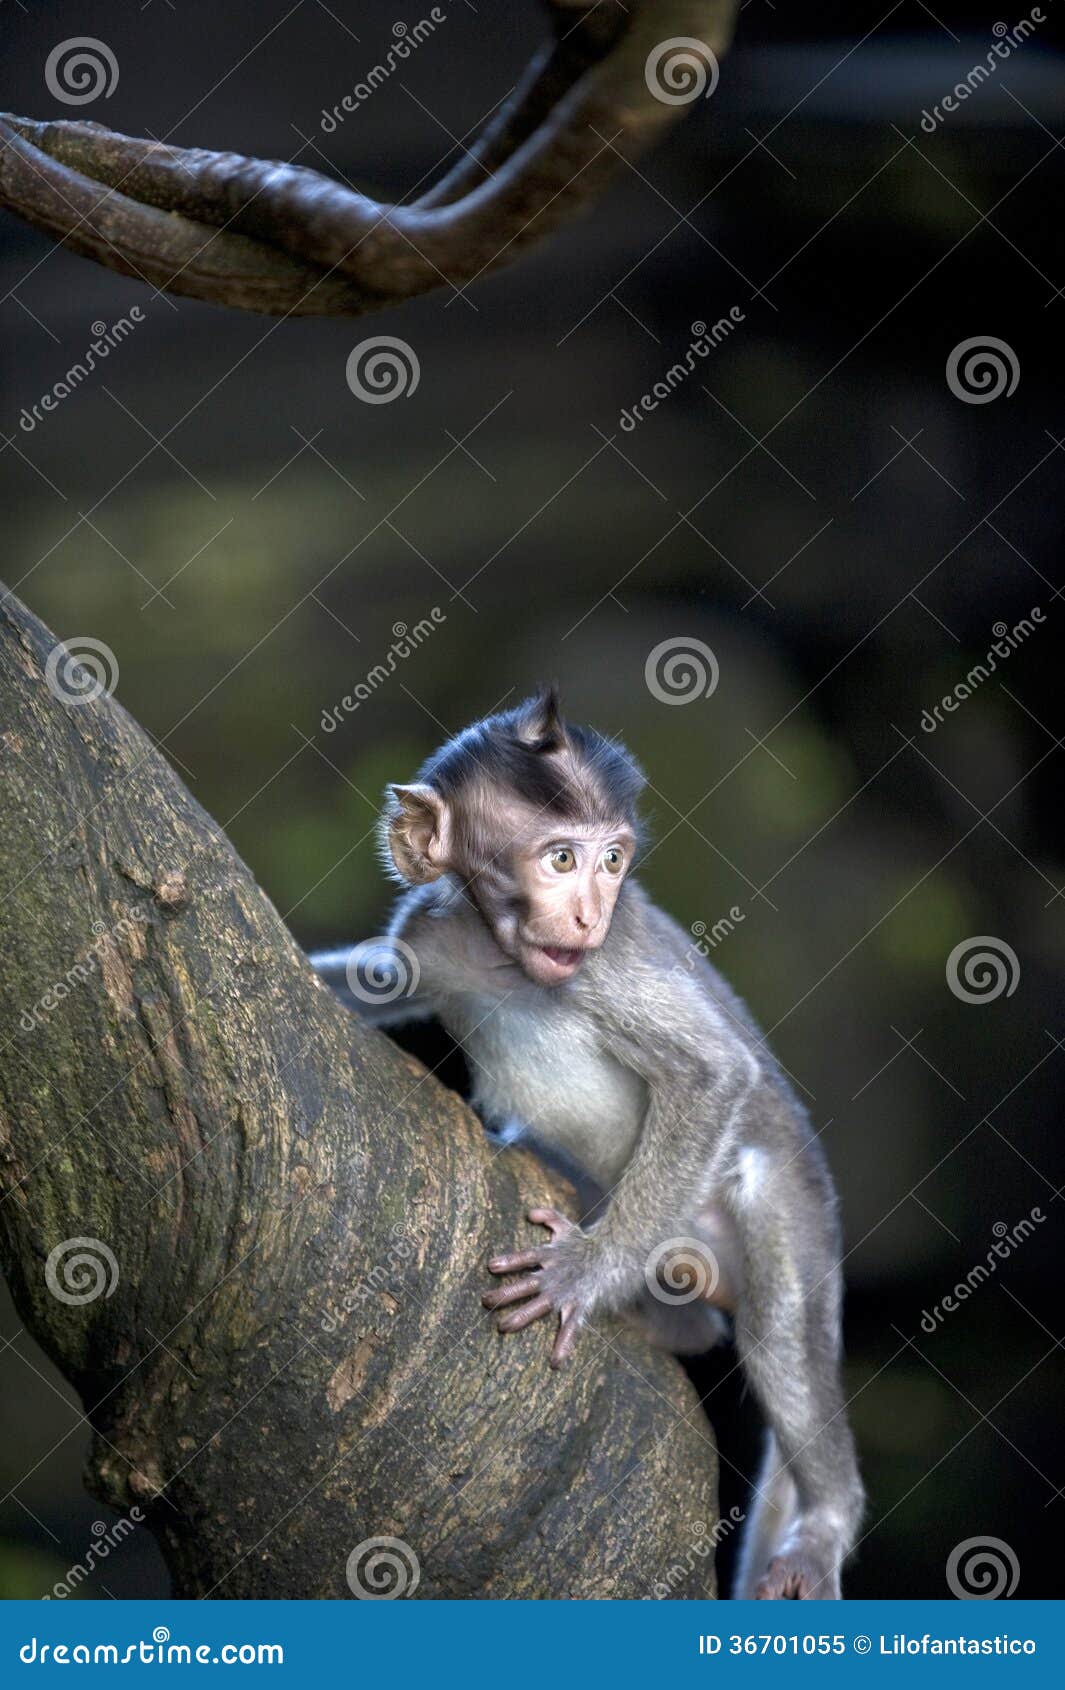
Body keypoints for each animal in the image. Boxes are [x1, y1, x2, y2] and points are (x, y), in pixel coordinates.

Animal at [311, 689, 863, 1600]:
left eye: (611, 862)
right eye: (561, 858)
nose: (589, 912)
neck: (504, 961)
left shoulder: (603, 966)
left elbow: (713, 1073)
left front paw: (583, 1273)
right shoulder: (431, 935)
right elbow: (371, 987)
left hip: (793, 1205)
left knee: (775, 1328)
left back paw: (824, 1518)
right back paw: (668, 1321)